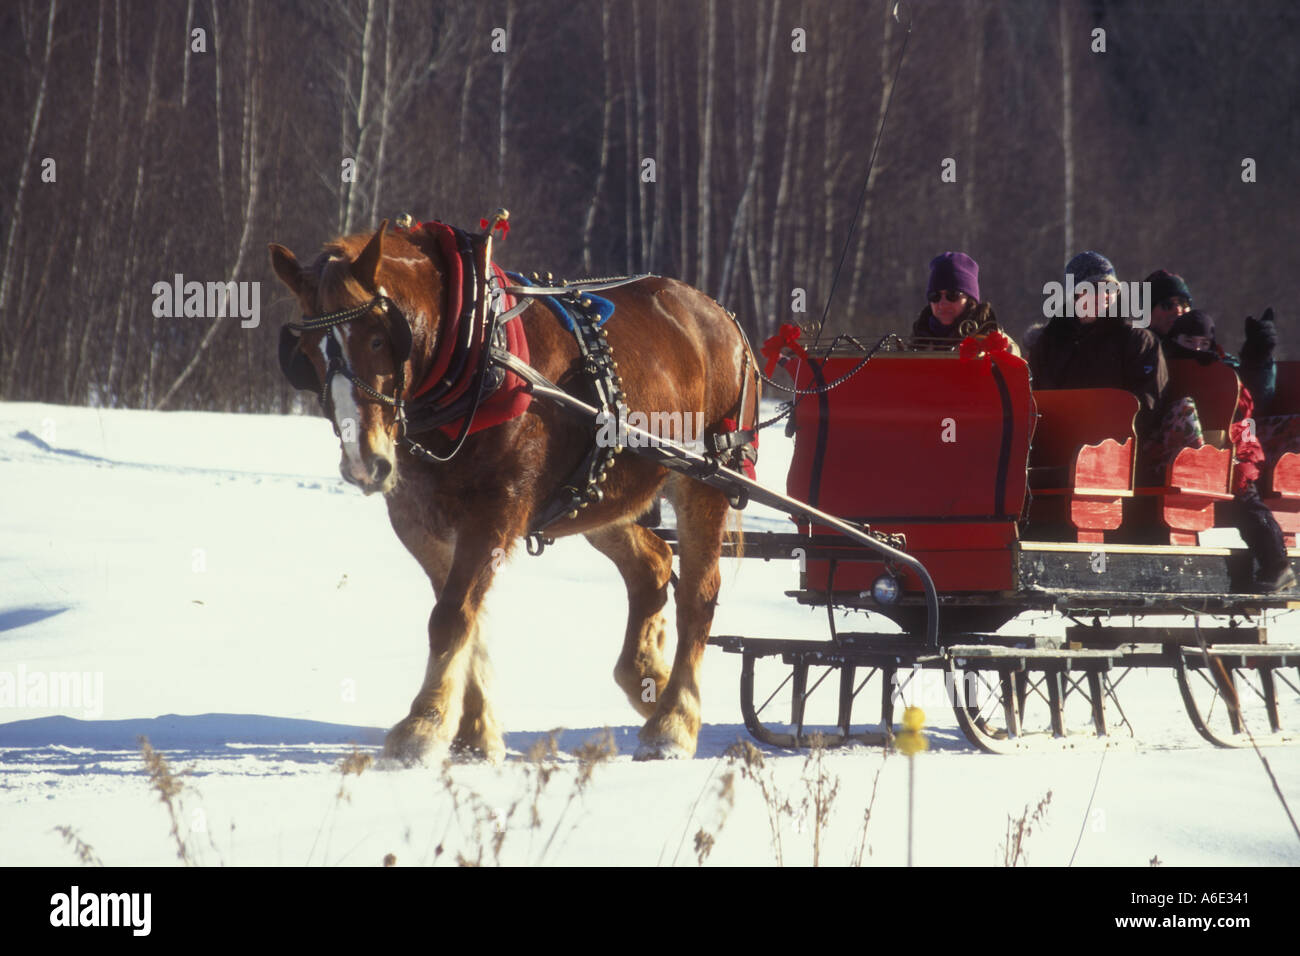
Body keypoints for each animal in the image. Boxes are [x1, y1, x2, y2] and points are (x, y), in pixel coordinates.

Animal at [268, 219, 758, 762]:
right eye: (306, 355)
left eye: (379, 340)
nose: (363, 463)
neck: (475, 350)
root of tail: (722, 317)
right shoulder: (419, 520)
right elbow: (467, 618)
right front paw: (473, 734)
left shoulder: (495, 512)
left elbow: (451, 615)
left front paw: (422, 728)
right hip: (600, 499)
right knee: (652, 565)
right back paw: (648, 682)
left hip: (705, 480)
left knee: (698, 594)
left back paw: (674, 722)